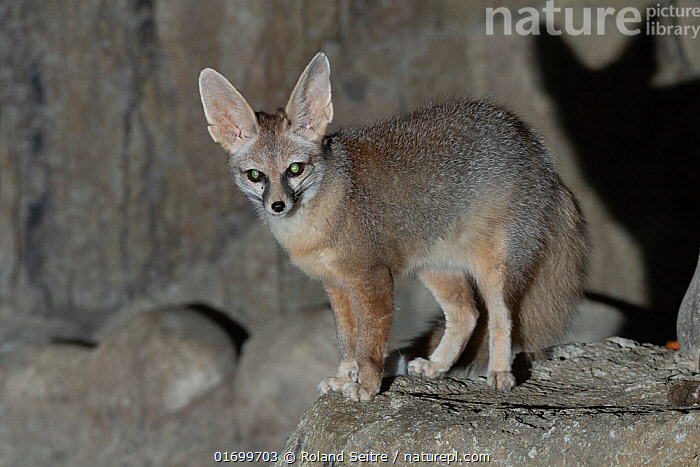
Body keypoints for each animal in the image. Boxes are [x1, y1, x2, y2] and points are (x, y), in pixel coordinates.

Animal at [198, 52, 589, 402]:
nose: (277, 206)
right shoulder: (336, 286)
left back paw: (500, 373)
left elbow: (369, 346)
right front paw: (344, 378)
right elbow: (346, 342)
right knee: (467, 315)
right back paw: (436, 366)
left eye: (295, 169)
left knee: (500, 317)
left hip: (494, 271)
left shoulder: (373, 281)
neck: (320, 220)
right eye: (255, 176)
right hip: (436, 269)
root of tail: (538, 152)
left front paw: (367, 387)